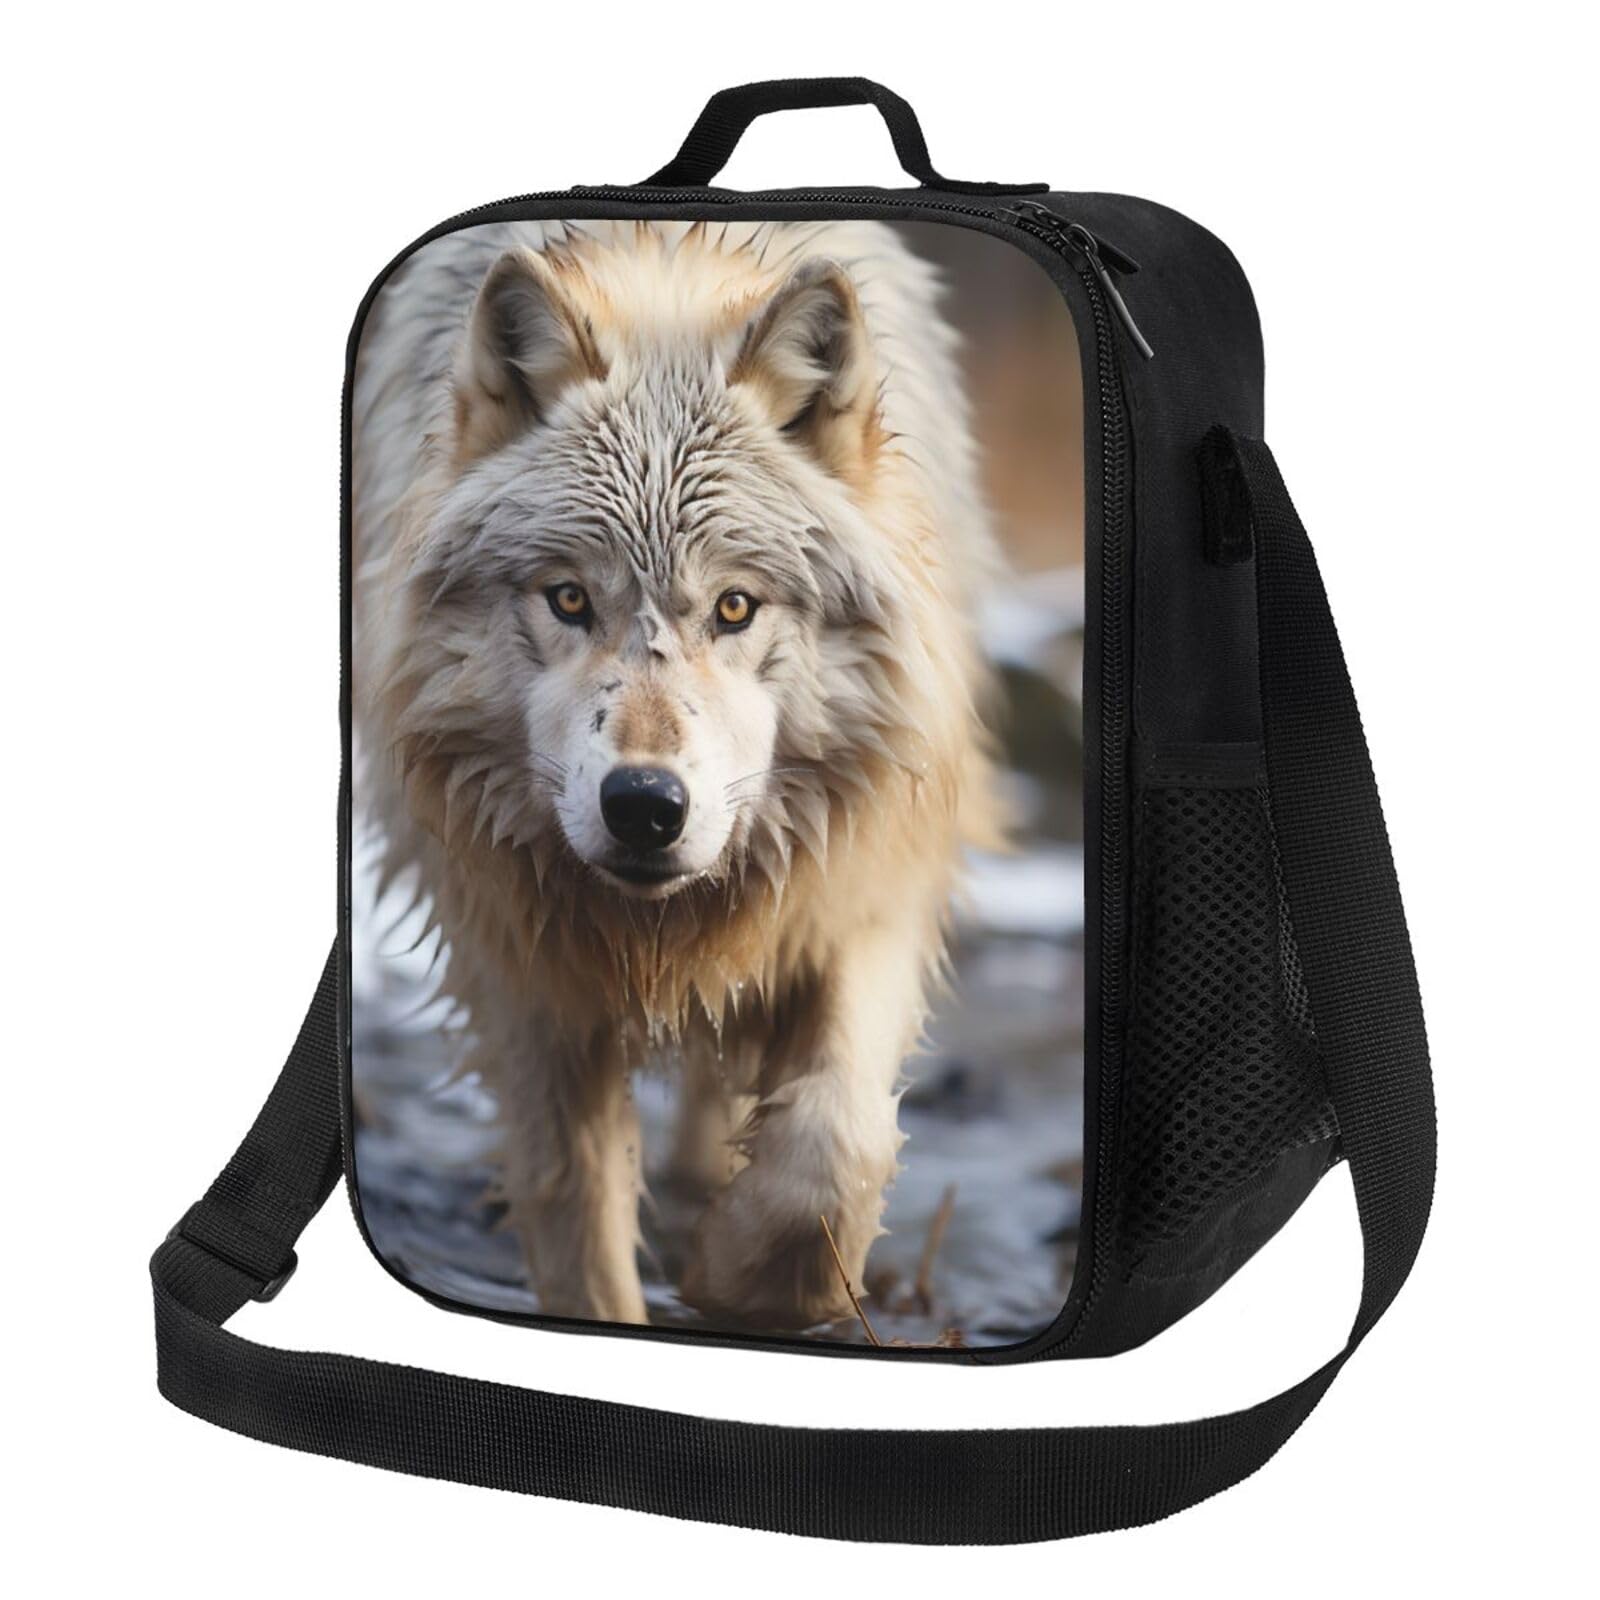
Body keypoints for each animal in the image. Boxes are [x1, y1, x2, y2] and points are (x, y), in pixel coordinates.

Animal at [352, 219, 1002, 1330]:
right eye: (569, 598)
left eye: (734, 608)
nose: (645, 807)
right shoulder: (512, 950)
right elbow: (574, 1203)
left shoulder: (861, 876)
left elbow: (834, 1143)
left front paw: (740, 1279)